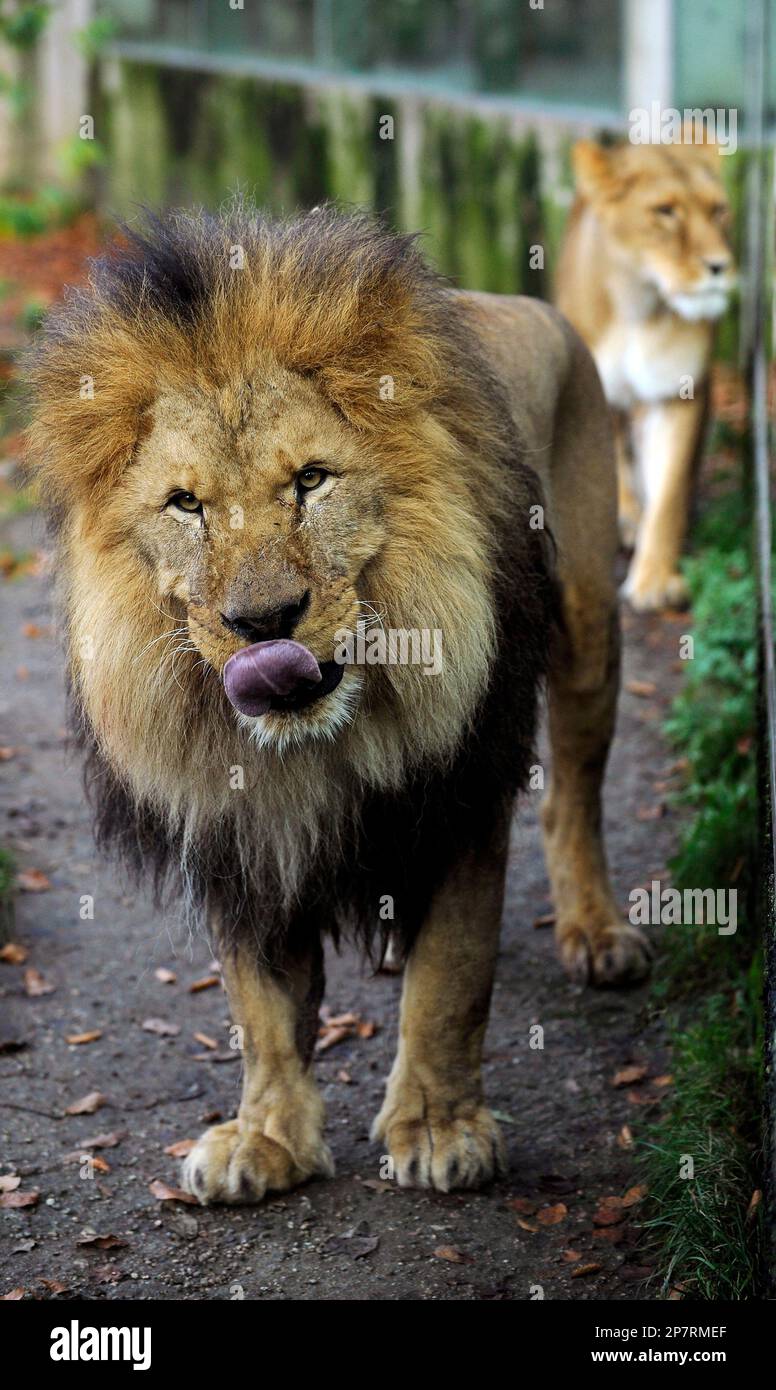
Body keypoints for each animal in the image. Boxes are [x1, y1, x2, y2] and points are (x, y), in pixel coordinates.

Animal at [27, 205, 650, 1203]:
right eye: (186, 504)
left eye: (312, 481)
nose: (263, 624)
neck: (325, 741)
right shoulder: (238, 825)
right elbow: (261, 1006)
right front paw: (264, 1138)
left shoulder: (459, 793)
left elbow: (452, 979)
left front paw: (438, 1128)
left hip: (590, 625)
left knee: (573, 796)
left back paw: (598, 934)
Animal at [555, 139, 736, 611]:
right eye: (665, 211)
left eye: (718, 210)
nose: (720, 267)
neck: (640, 303)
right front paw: (622, 516)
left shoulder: (676, 394)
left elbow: (668, 494)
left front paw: (654, 581)